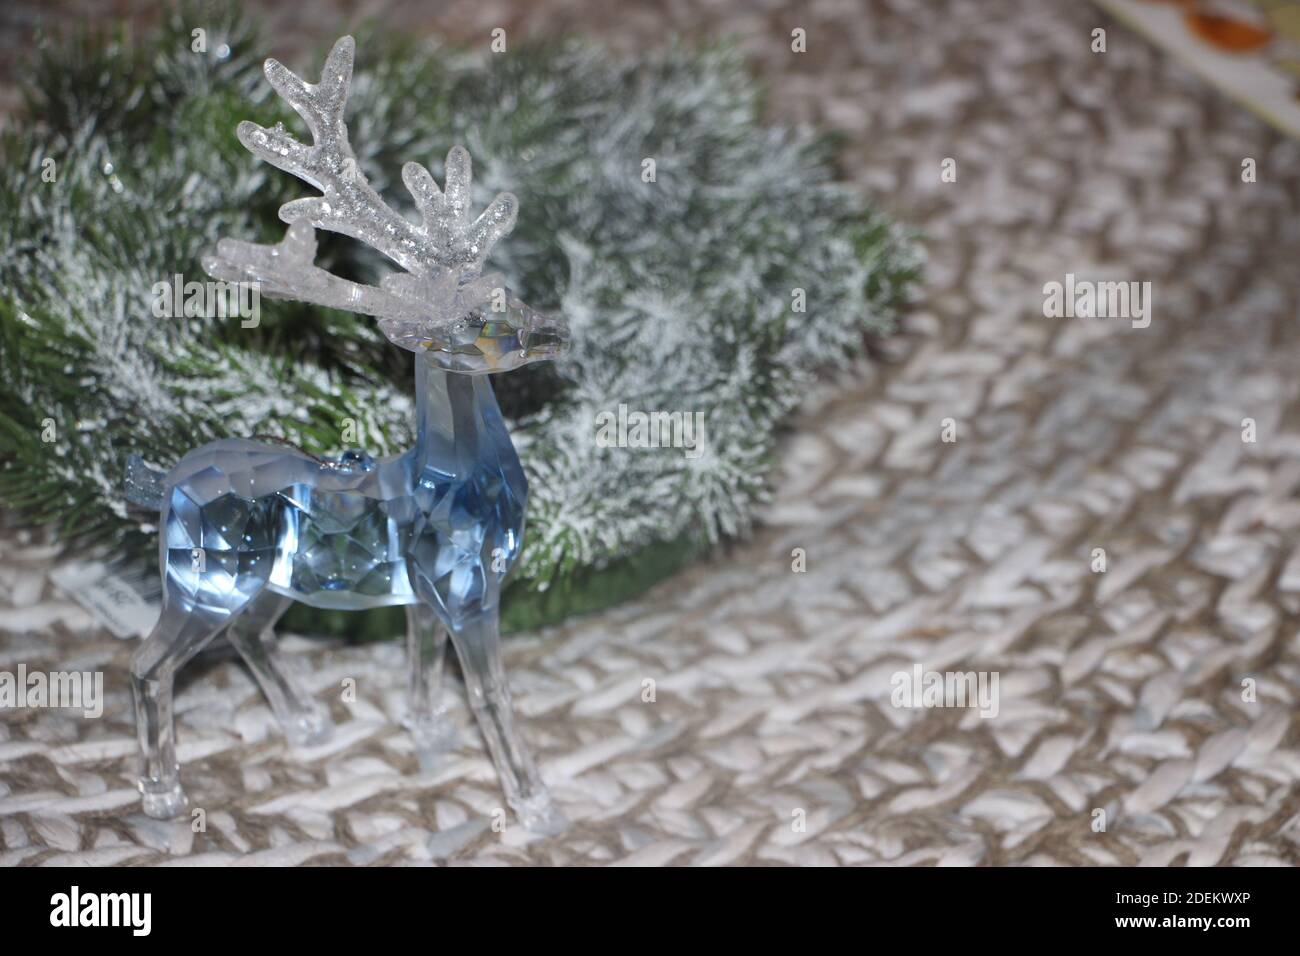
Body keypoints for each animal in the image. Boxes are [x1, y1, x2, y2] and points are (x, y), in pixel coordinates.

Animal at [125, 36, 570, 835]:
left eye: (508, 289)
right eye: (476, 320)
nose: (556, 332)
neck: (457, 483)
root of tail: (164, 482)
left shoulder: (424, 596)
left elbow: (421, 659)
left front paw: (427, 729)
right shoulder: (467, 589)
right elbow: (490, 694)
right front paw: (534, 803)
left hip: (267, 579)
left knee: (248, 634)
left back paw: (306, 724)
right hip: (203, 577)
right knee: (149, 668)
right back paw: (163, 794)